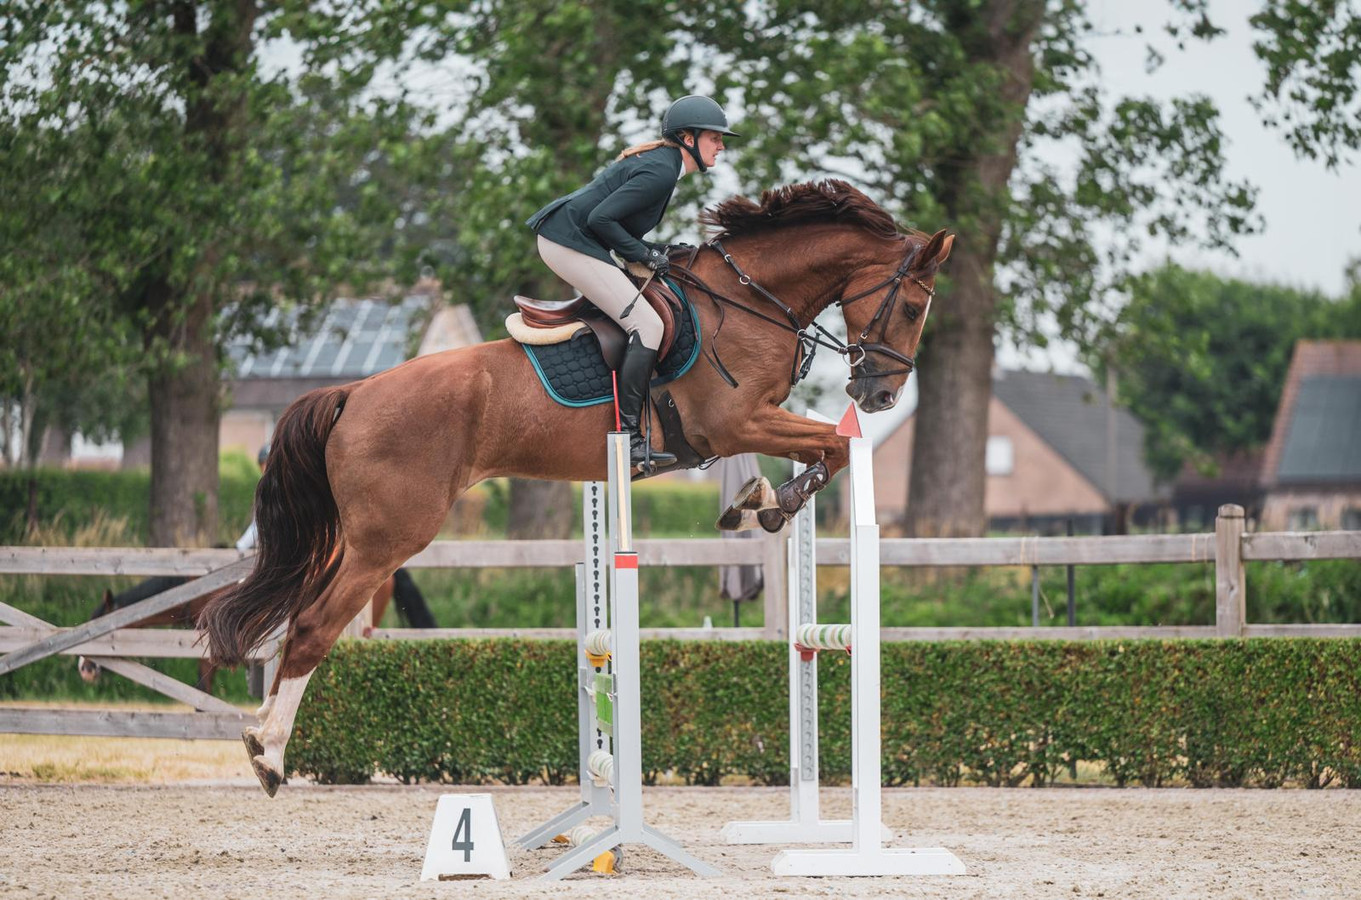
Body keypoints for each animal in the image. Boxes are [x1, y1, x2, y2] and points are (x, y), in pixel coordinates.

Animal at [199, 179, 954, 796]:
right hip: (386, 540)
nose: (881, 395)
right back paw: (268, 755)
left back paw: (261, 737)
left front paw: (761, 502)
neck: (748, 301)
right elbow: (837, 444)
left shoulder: (747, 427)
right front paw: (771, 505)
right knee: (312, 627)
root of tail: (353, 393)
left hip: (354, 539)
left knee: (297, 614)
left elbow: (828, 447)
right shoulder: (734, 423)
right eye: (914, 306)